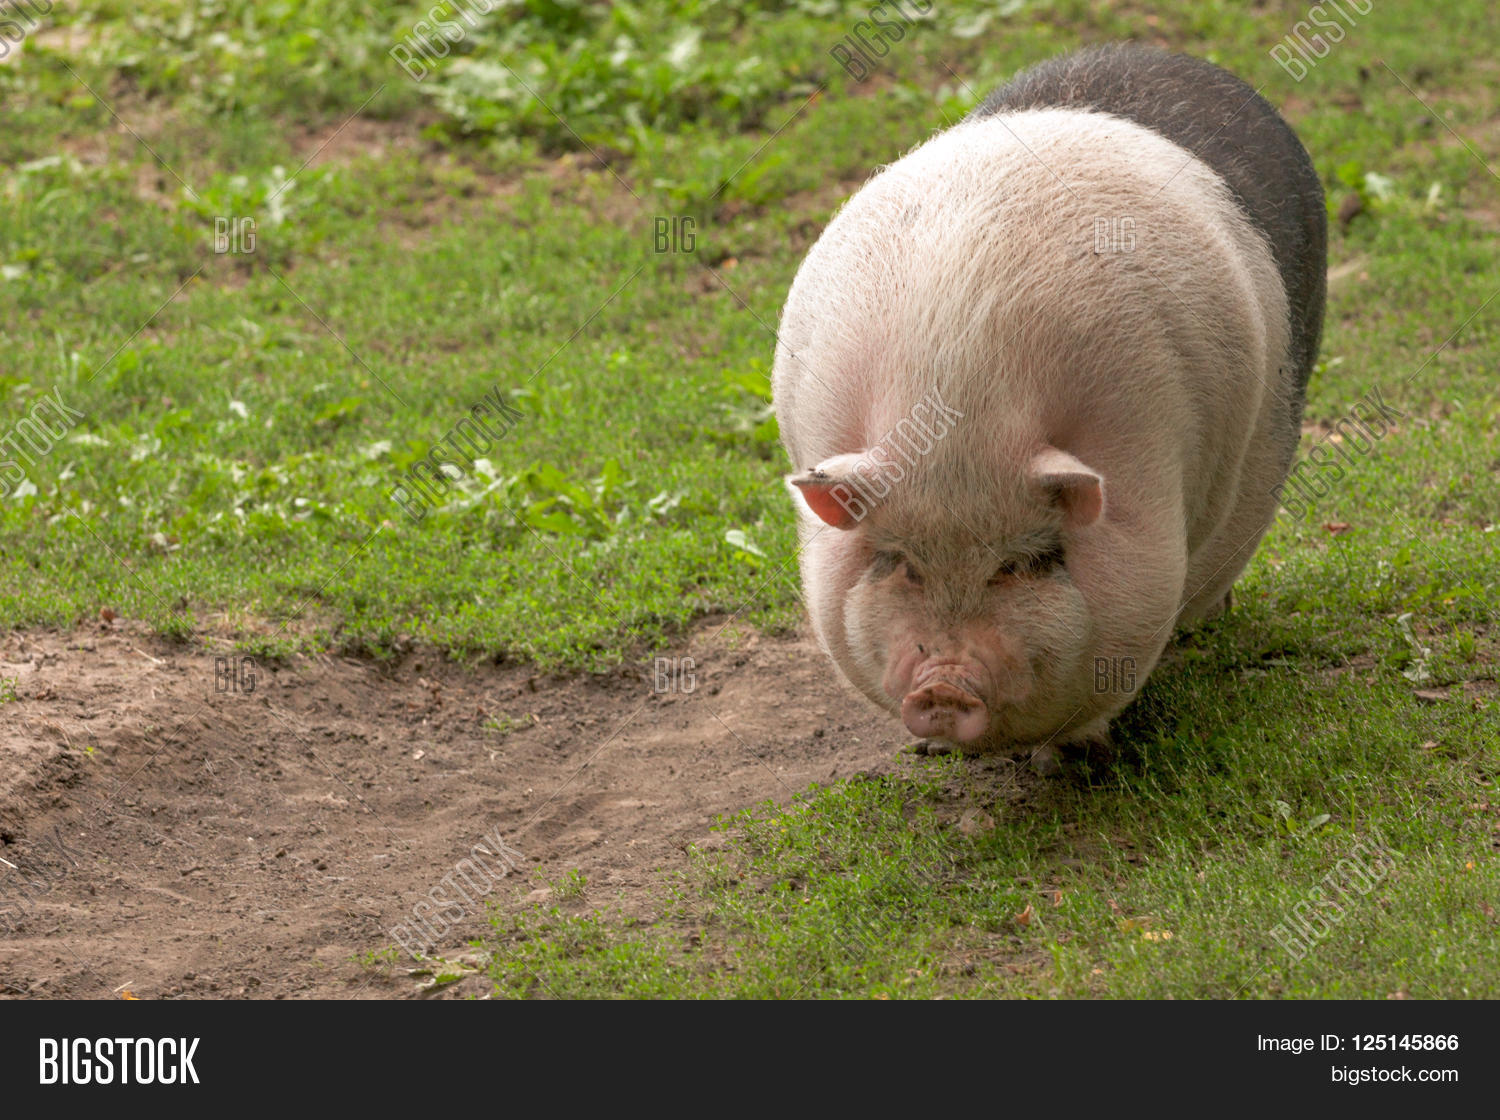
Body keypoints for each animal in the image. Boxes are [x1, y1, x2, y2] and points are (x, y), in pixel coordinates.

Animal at [771, 45, 1326, 761]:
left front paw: (1080, 758)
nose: (944, 687)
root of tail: (1161, 53)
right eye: (898, 563)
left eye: (1026, 562)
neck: (957, 401)